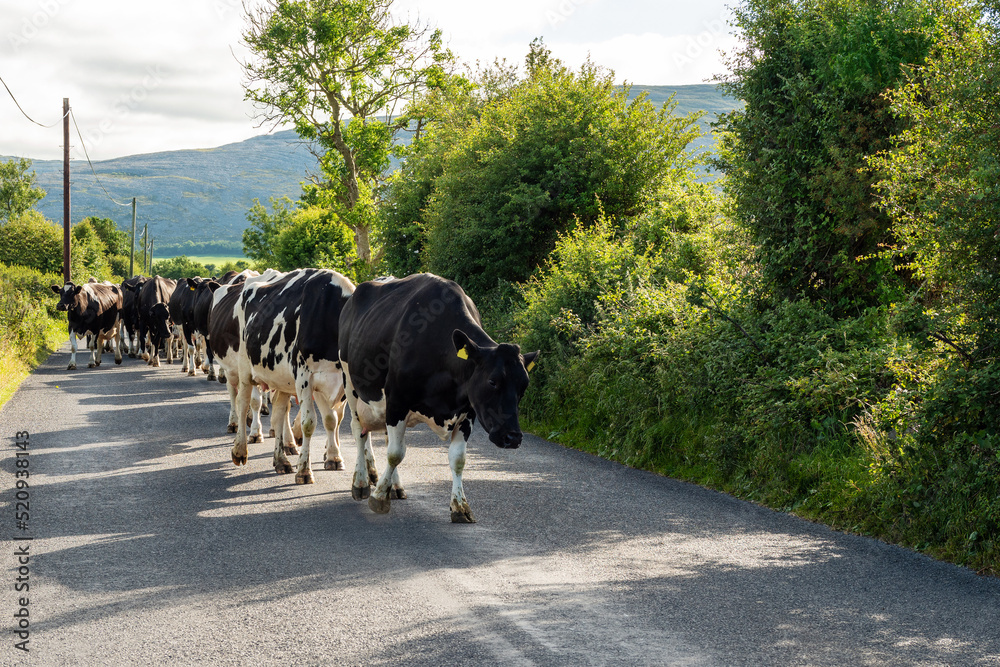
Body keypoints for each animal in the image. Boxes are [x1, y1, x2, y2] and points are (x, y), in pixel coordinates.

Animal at [231, 268, 355, 485]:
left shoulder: (336, 383)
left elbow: (332, 419)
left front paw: (333, 458)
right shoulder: (305, 377)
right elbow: (309, 423)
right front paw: (304, 471)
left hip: (281, 379)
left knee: (279, 413)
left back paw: (281, 461)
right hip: (245, 367)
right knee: (243, 402)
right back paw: (240, 450)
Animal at [338, 273, 539, 523]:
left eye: (524, 385)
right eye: (493, 381)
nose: (513, 437)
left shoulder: (467, 411)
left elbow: (458, 459)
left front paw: (460, 507)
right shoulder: (397, 400)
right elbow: (395, 453)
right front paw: (379, 498)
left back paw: (395, 487)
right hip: (351, 385)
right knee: (359, 432)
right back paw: (361, 483)